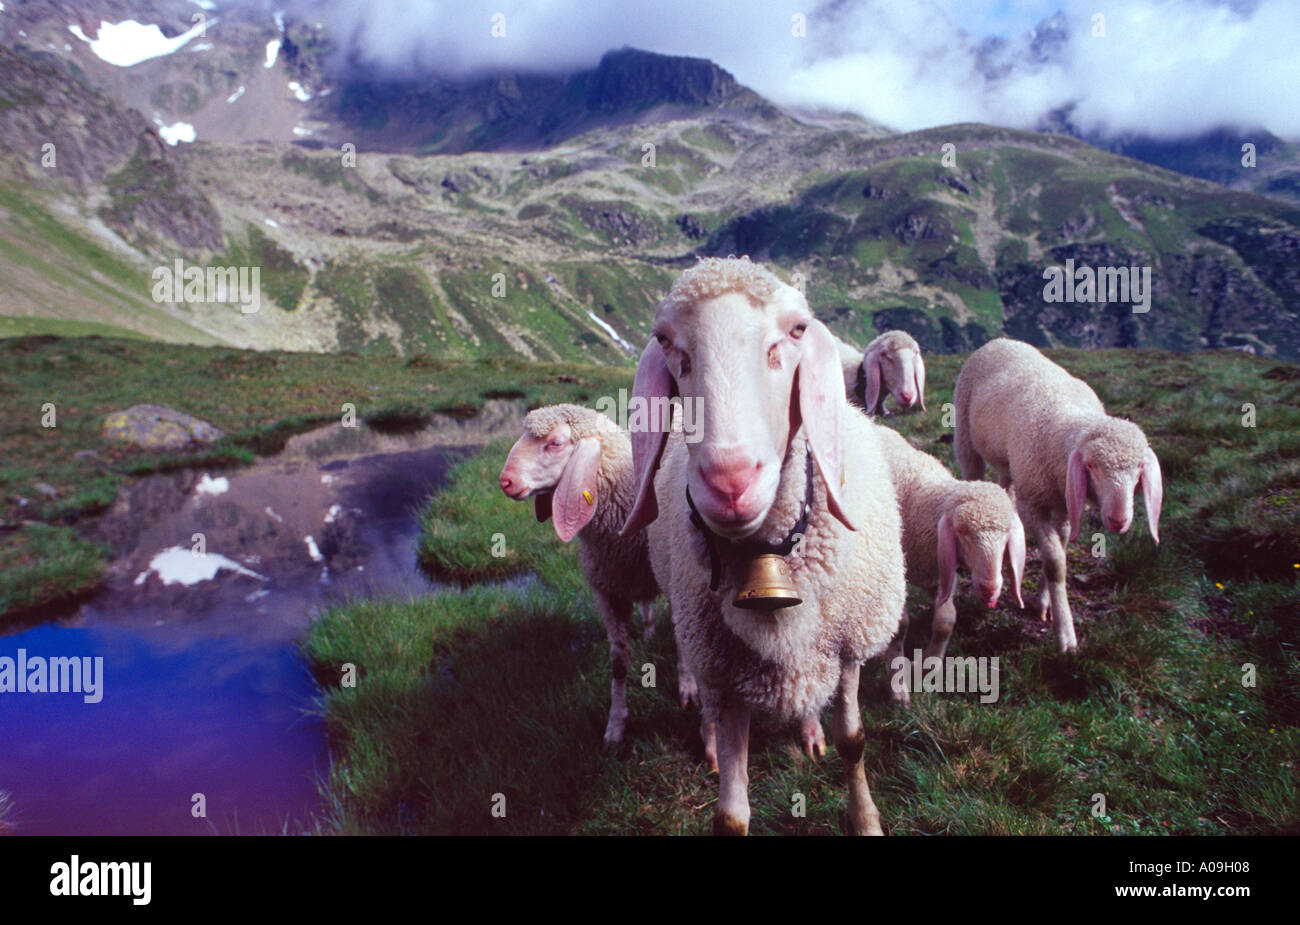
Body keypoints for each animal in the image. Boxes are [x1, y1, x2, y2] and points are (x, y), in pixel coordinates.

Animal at [498, 404, 698, 749]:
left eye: (555, 443)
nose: (505, 481)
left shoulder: (674, 580)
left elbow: (681, 639)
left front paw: (687, 689)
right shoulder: (608, 591)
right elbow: (618, 662)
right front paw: (615, 724)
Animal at [620, 256, 906, 835]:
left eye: (797, 330)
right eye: (665, 340)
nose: (729, 481)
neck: (769, 555)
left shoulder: (848, 646)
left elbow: (854, 741)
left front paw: (865, 818)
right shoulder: (726, 671)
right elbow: (731, 813)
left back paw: (810, 731)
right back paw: (708, 739)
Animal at [874, 425, 1026, 703]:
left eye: (1006, 535)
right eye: (962, 532)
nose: (989, 588)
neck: (921, 498)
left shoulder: (940, 573)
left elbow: (946, 620)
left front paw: (925, 666)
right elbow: (901, 626)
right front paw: (897, 687)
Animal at [953, 338, 1163, 652]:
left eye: (1140, 468)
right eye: (1091, 465)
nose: (1118, 521)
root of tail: (1000, 340)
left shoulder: (1065, 502)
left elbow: (1060, 546)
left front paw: (1044, 602)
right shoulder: (1034, 503)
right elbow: (1054, 562)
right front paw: (1065, 634)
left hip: (1010, 462)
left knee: (1006, 487)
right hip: (967, 441)